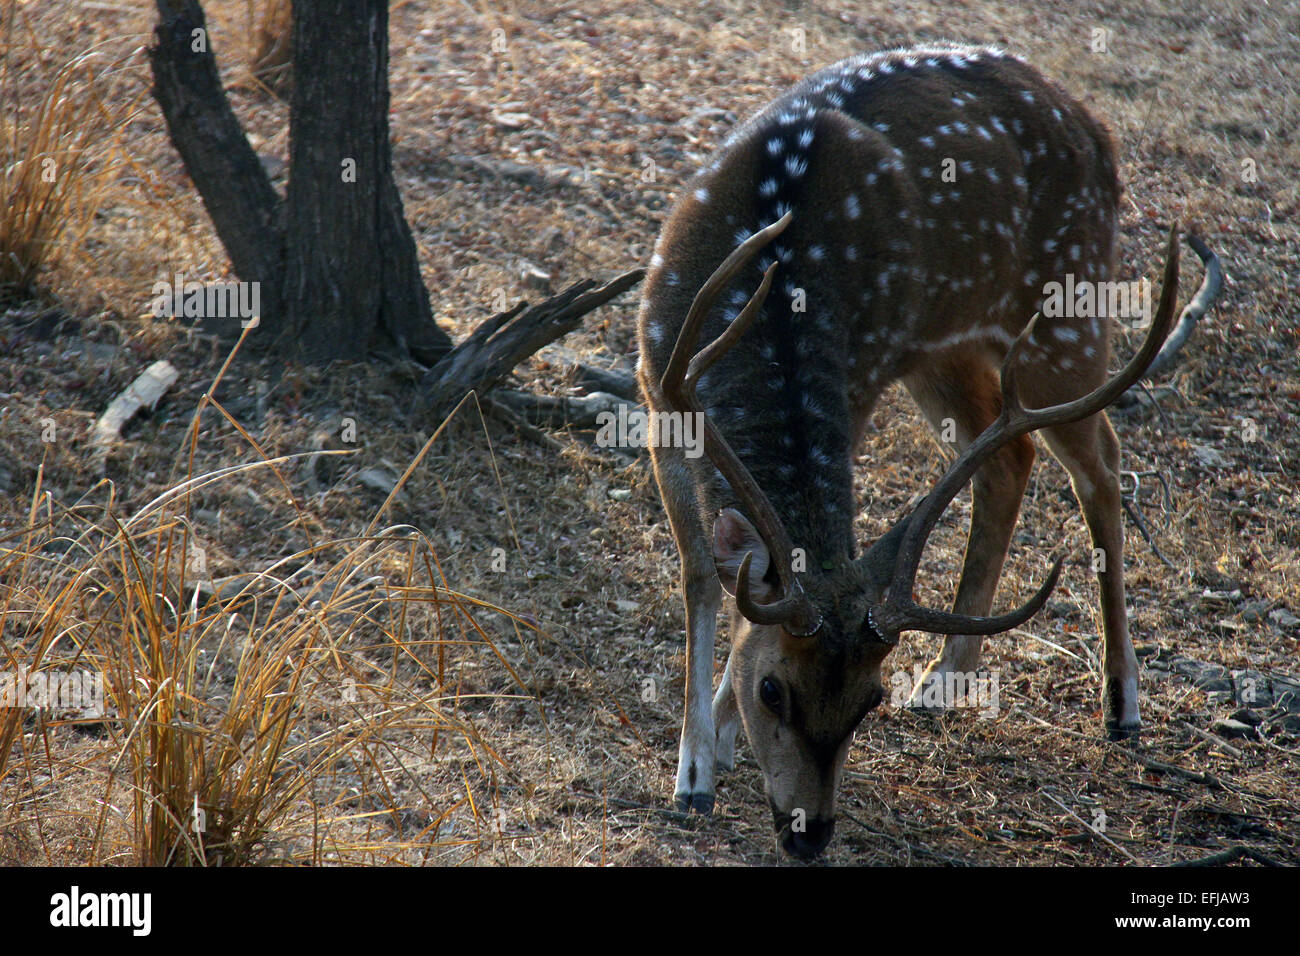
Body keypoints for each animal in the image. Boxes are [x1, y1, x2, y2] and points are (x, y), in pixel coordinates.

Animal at [634, 43, 1219, 859]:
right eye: (773, 690)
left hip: (1069, 308)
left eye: (867, 700)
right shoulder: (656, 382)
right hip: (948, 348)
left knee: (1098, 460)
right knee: (1011, 455)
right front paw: (694, 773)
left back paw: (1120, 702)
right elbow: (700, 576)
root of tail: (1099, 132)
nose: (810, 834)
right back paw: (947, 680)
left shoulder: (856, 383)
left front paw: (712, 744)